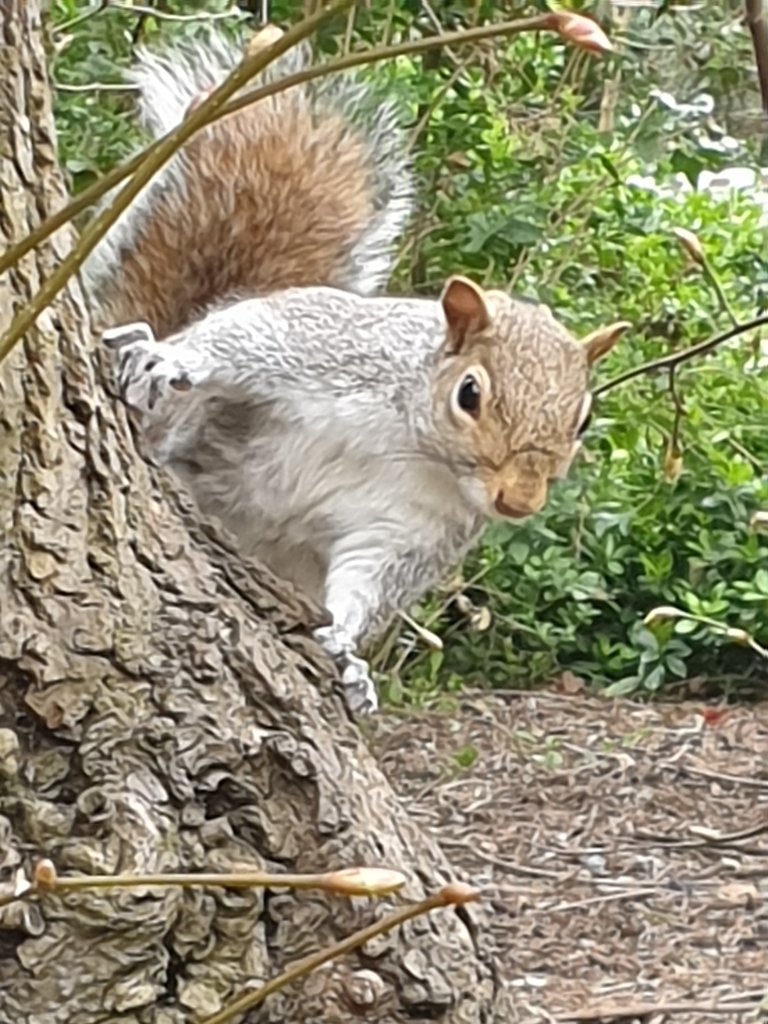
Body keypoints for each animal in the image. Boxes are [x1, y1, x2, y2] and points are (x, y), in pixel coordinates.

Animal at [85, 23, 630, 715]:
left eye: (583, 419)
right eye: (470, 394)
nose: (520, 500)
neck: (417, 447)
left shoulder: (413, 528)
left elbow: (369, 580)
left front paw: (347, 653)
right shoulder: (332, 345)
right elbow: (251, 335)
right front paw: (177, 356)